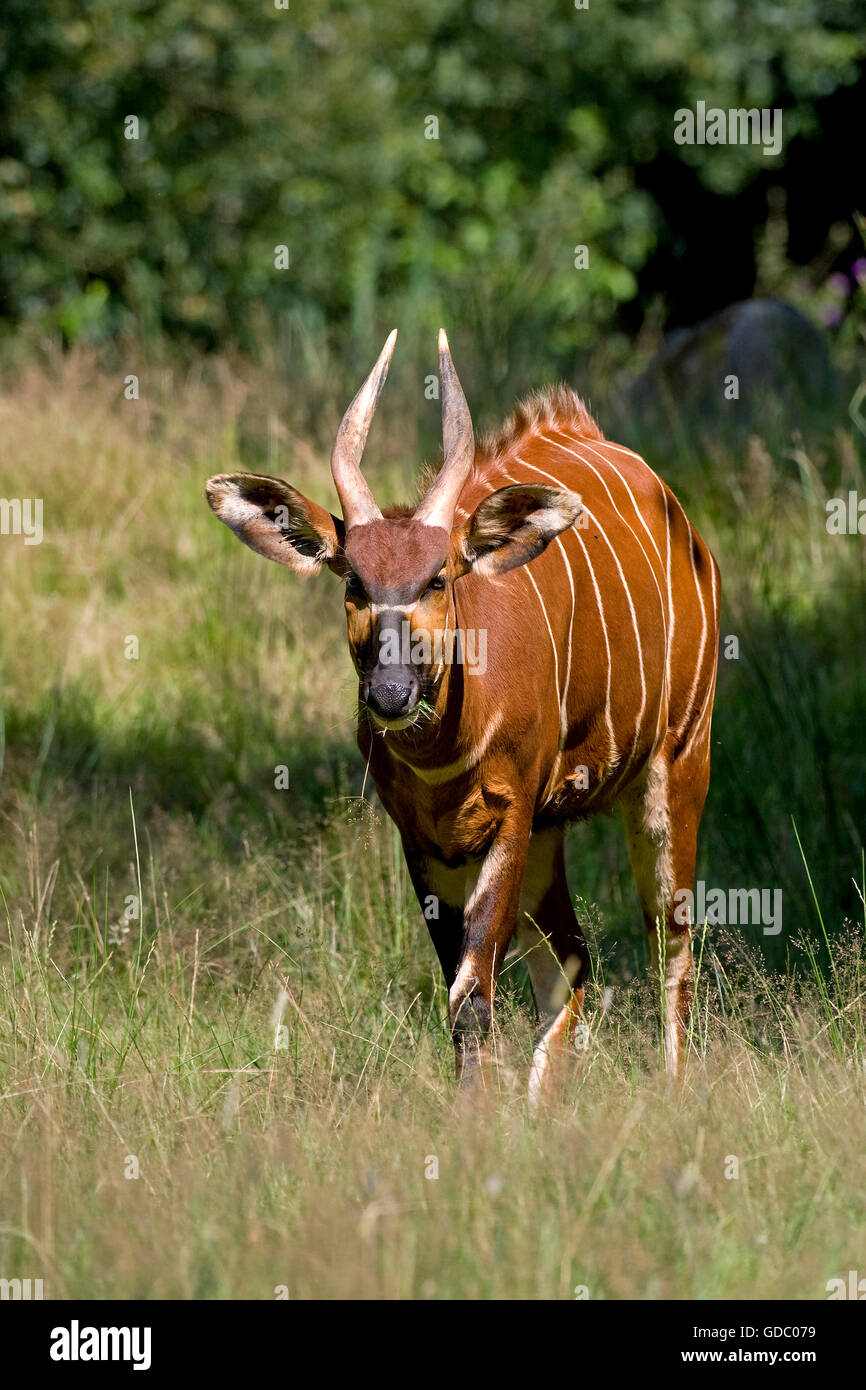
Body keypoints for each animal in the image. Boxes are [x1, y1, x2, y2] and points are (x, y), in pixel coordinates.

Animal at [207, 331, 720, 1100]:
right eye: (353, 581)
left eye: (438, 577)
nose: (390, 693)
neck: (444, 756)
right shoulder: (427, 840)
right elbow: (465, 993)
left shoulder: (510, 817)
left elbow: (473, 993)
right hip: (555, 827)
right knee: (573, 958)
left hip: (677, 767)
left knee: (671, 944)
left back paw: (673, 1089)